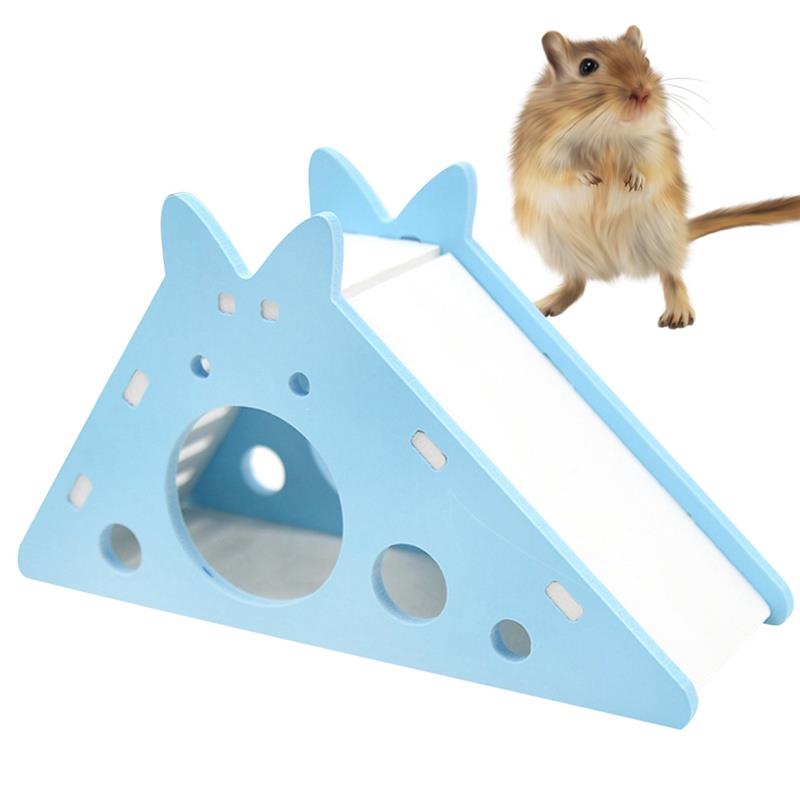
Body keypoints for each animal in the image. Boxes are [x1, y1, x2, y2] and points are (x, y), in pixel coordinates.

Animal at [511, 25, 800, 327]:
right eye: (587, 66)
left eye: (646, 62)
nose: (643, 93)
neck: (606, 131)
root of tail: (612, 266)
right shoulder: (543, 149)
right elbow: (560, 170)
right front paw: (590, 179)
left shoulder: (655, 144)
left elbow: (647, 165)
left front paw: (633, 182)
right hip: (562, 248)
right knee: (576, 282)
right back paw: (545, 304)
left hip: (660, 234)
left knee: (671, 273)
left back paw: (678, 313)